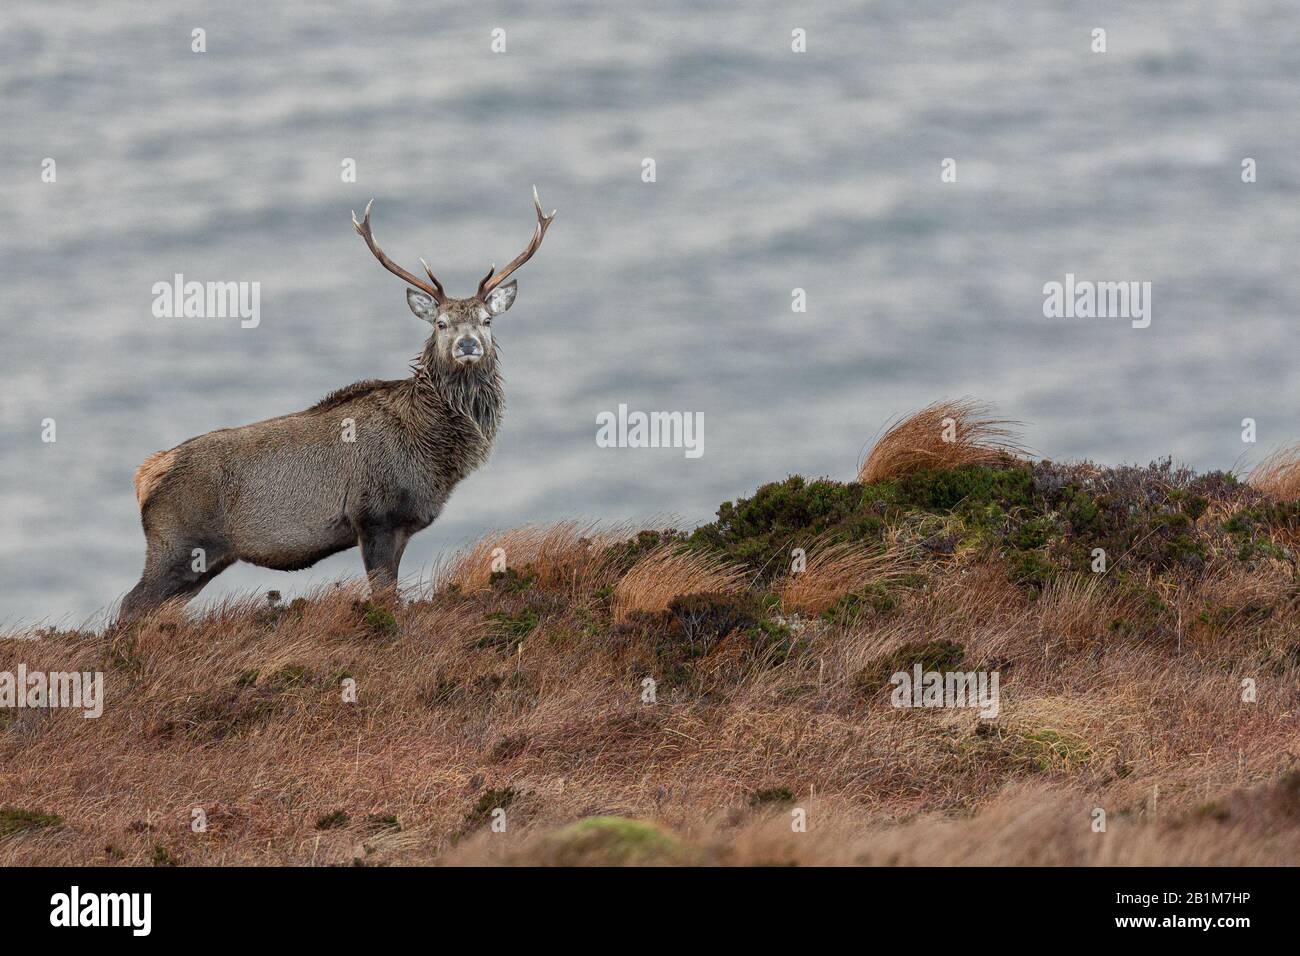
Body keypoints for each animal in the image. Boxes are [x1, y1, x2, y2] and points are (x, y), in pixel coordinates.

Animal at [117, 188, 556, 621]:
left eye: (486, 320)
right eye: (440, 323)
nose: (467, 344)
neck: (433, 450)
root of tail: (146, 475)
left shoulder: (399, 526)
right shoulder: (375, 516)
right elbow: (384, 597)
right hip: (178, 545)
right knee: (129, 606)